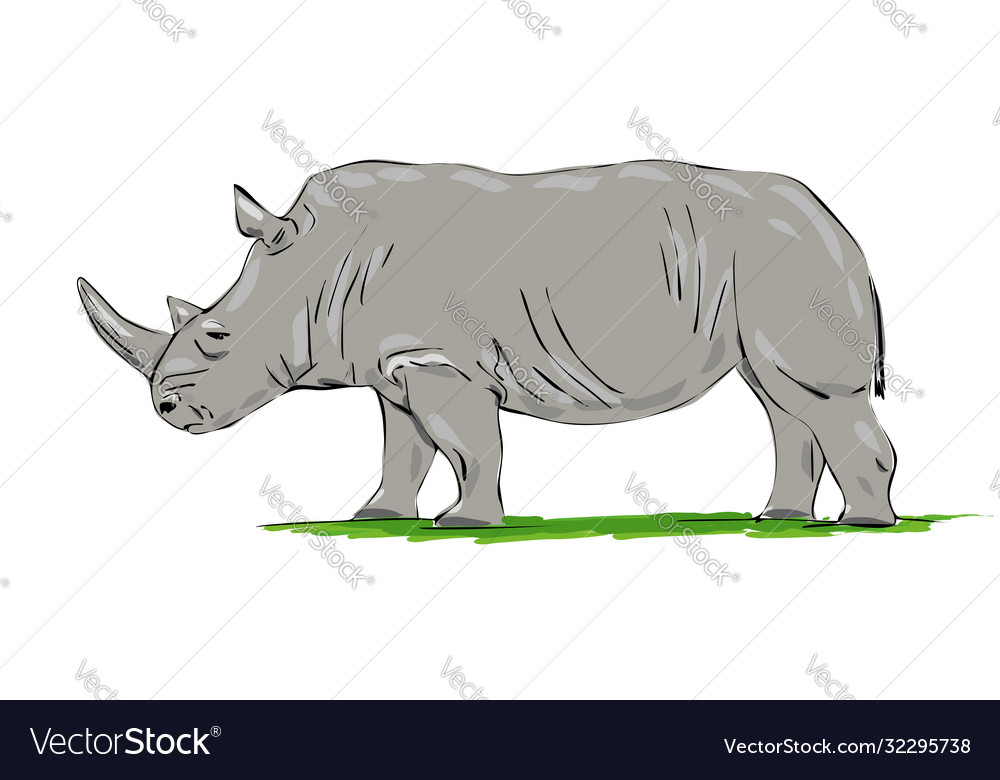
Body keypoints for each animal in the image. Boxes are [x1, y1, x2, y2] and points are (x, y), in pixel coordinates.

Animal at [78, 160, 899, 528]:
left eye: (217, 336)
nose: (166, 408)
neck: (311, 268)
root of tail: (841, 225)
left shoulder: (438, 361)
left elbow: (468, 444)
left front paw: (464, 524)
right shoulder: (393, 367)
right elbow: (402, 447)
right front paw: (378, 518)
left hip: (789, 260)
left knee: (810, 393)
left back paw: (859, 527)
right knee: (778, 396)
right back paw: (779, 520)